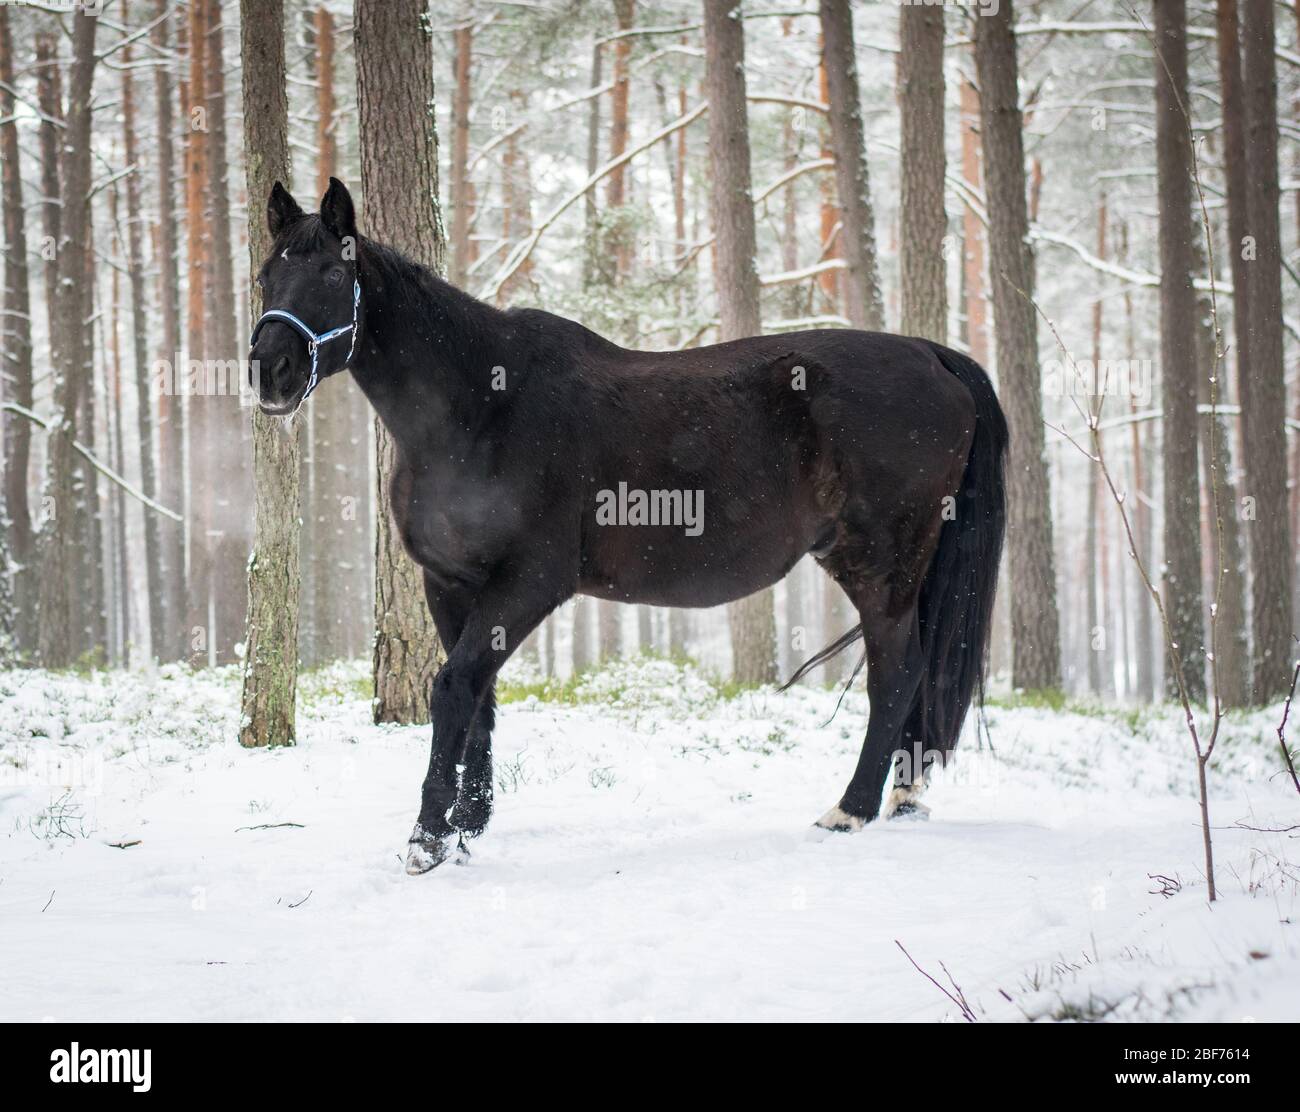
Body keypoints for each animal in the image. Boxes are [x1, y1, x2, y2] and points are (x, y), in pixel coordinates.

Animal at [249, 179, 1007, 875]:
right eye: (265, 275)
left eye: (332, 274)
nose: (268, 372)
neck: (481, 408)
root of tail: (931, 354)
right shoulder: (451, 584)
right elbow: (478, 697)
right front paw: (469, 825)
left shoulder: (528, 583)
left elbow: (454, 689)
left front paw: (428, 839)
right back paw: (901, 797)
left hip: (882, 566)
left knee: (896, 675)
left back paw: (849, 810)